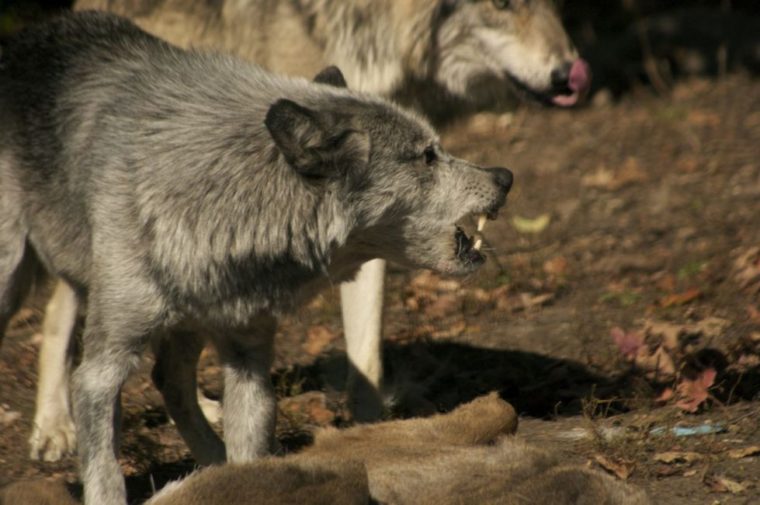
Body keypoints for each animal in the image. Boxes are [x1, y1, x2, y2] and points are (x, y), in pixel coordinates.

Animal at [28, 0, 590, 460]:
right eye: (502, 4)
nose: (571, 73)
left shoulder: (365, 242)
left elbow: (366, 350)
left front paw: (373, 431)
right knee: (62, 310)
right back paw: (55, 427)